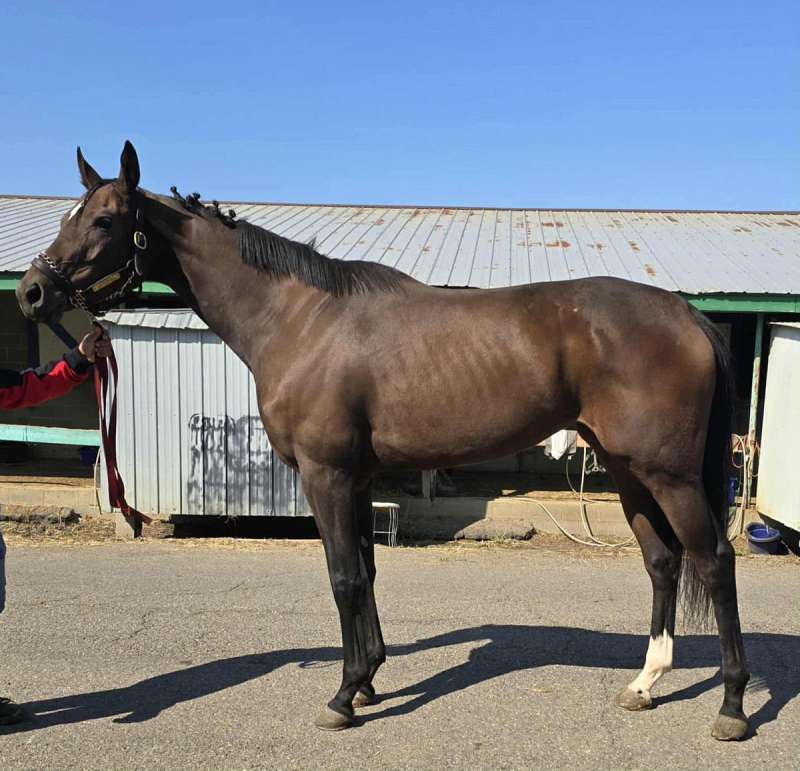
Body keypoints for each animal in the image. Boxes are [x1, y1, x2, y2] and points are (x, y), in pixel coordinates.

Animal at [16, 142, 749, 740]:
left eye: (105, 220)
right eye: (69, 215)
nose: (32, 290)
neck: (300, 319)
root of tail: (686, 315)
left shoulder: (328, 475)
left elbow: (342, 576)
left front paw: (342, 696)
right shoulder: (361, 478)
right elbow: (365, 572)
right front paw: (368, 678)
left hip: (669, 475)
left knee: (713, 560)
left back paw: (733, 707)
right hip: (628, 470)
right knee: (662, 562)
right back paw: (645, 684)